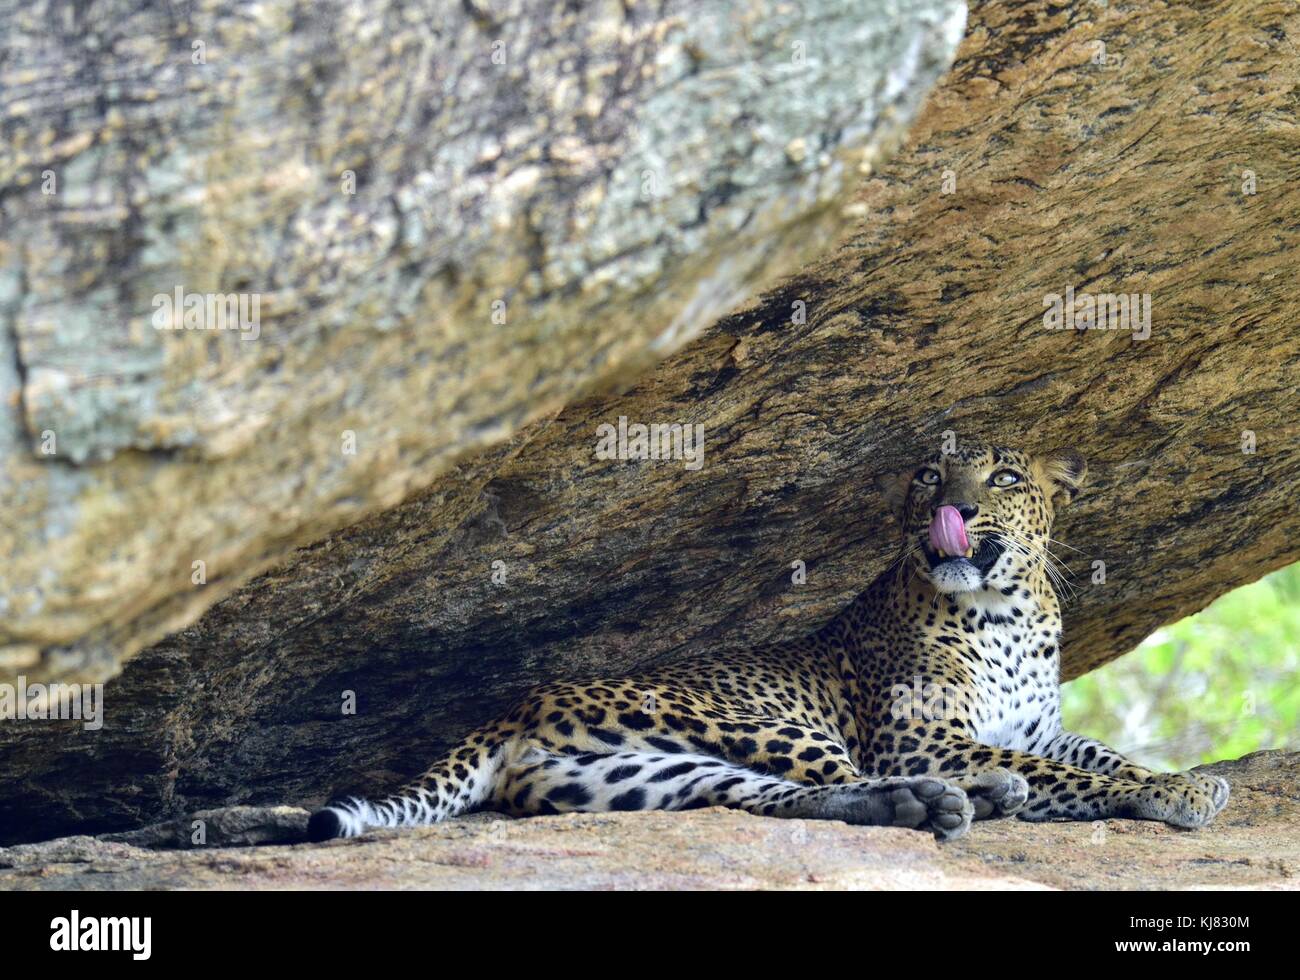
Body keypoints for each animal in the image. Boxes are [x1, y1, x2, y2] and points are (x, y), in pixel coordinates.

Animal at [307, 443, 1229, 842]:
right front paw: (1180, 794)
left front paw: (1178, 780)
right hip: (752, 722)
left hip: (641, 775)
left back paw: (935, 804)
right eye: (930, 475)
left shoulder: (1039, 727)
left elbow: (1098, 757)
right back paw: (966, 797)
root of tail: (516, 707)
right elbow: (1073, 776)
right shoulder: (919, 735)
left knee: (778, 797)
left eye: (1004, 477)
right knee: (844, 779)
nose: (954, 507)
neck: (1008, 611)